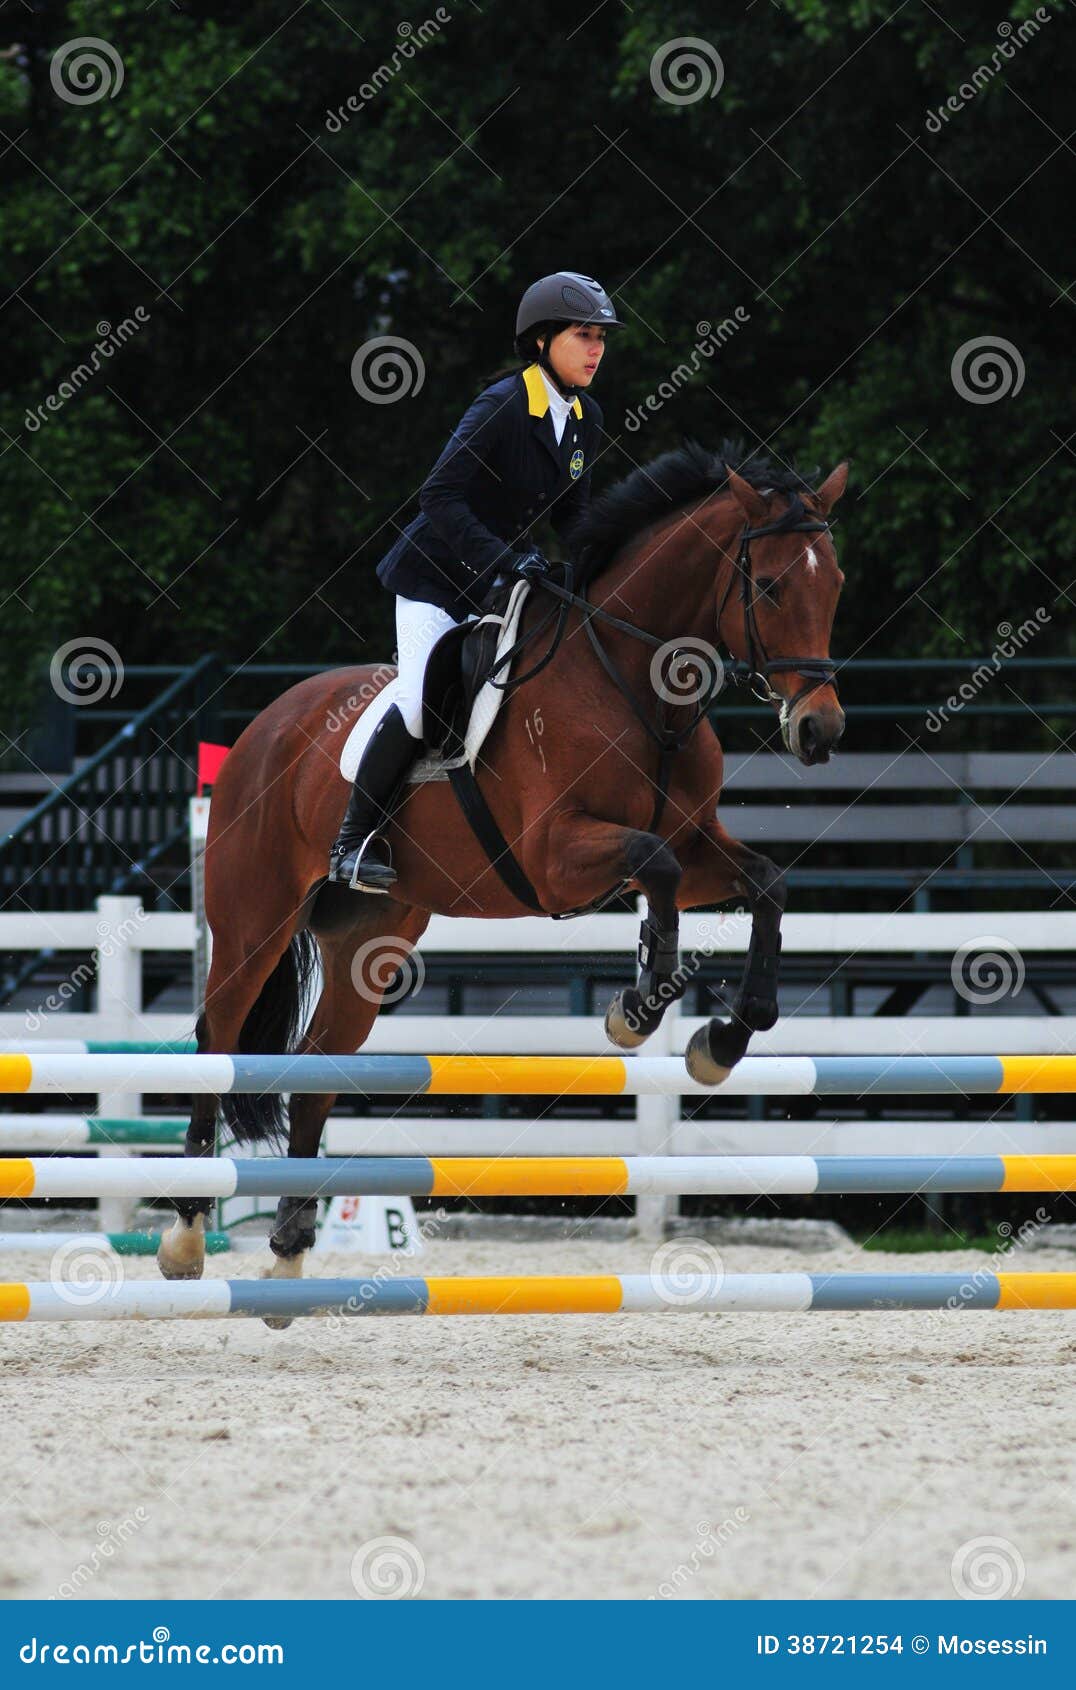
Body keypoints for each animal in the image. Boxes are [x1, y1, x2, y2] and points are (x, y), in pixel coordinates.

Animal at [158, 439, 847, 1299]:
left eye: (836, 584)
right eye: (770, 585)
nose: (821, 730)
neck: (637, 681)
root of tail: (264, 726)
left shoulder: (695, 848)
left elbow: (764, 885)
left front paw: (720, 1041)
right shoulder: (557, 858)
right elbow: (651, 868)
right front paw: (639, 1007)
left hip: (370, 939)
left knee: (317, 1062)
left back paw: (287, 1249)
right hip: (254, 918)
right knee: (217, 1039)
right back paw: (186, 1233)